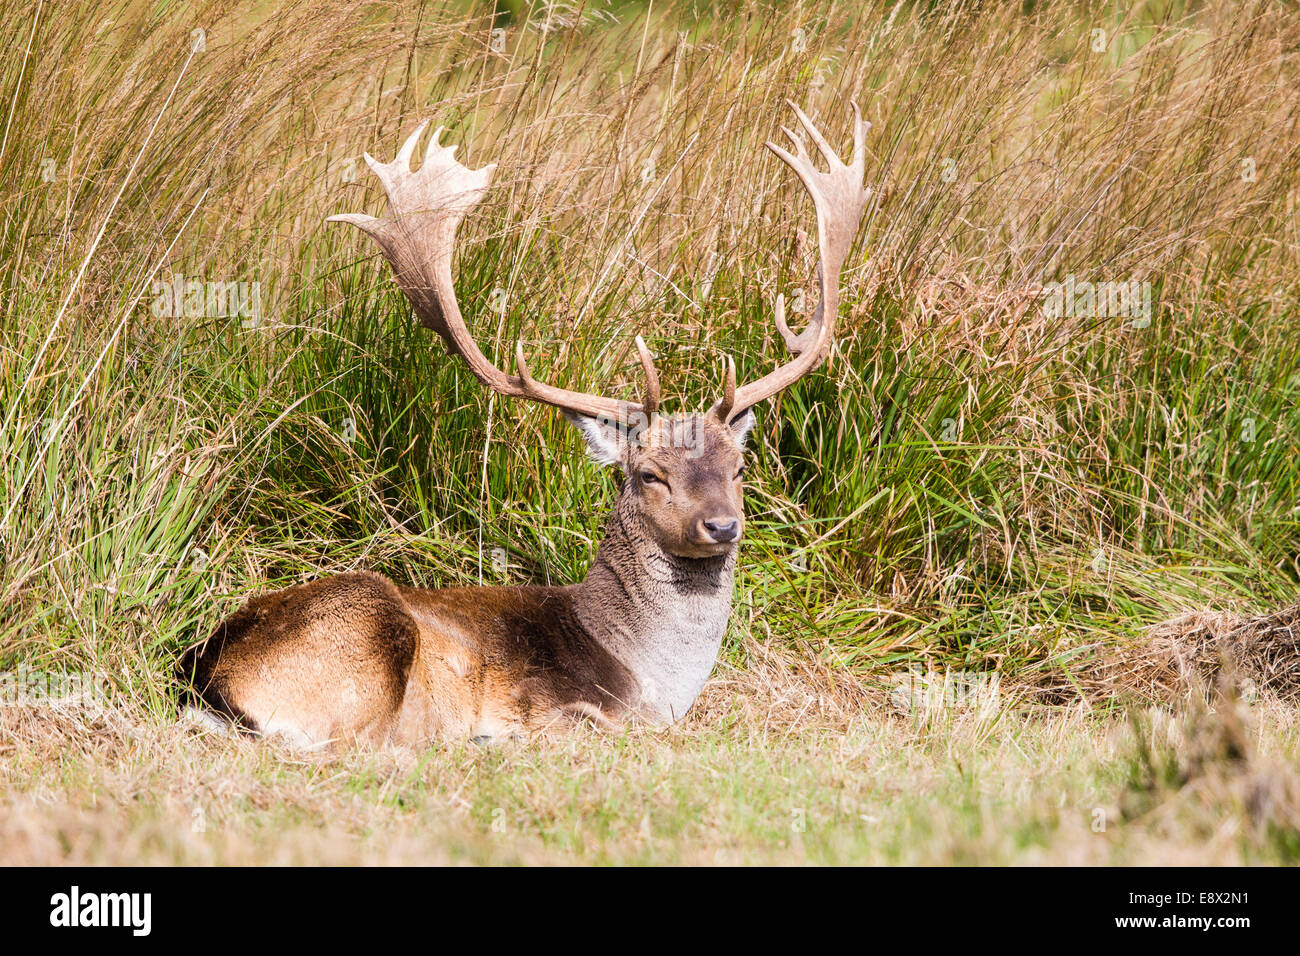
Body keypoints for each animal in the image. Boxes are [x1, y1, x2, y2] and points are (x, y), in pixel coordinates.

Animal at [176, 101, 871, 749]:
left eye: (739, 467)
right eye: (650, 474)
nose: (722, 524)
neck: (651, 684)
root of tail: (203, 679)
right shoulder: (553, 704)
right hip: (366, 636)